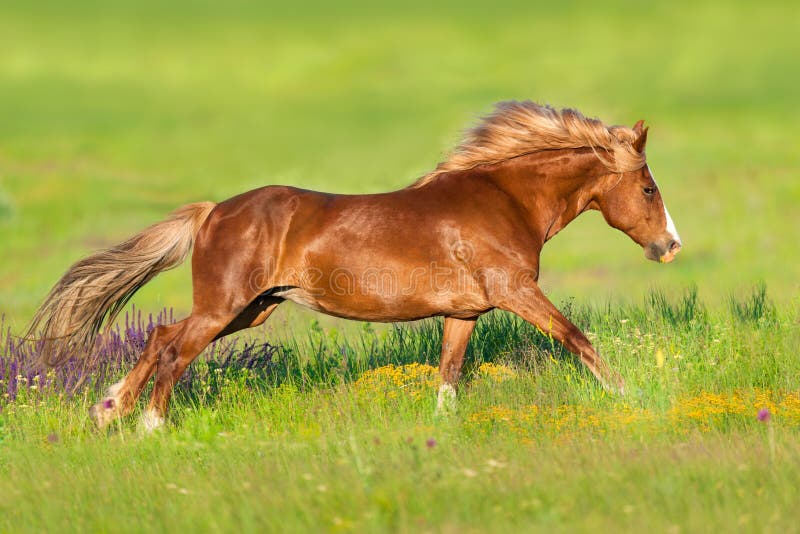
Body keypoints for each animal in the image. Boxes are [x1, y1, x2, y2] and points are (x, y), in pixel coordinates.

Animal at [27, 100, 681, 430]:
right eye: (649, 188)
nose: (671, 246)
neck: (505, 201)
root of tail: (213, 212)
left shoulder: (464, 312)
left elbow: (449, 373)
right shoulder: (515, 290)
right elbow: (576, 337)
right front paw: (631, 395)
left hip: (252, 309)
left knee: (160, 334)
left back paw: (108, 410)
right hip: (225, 307)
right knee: (173, 349)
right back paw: (149, 426)